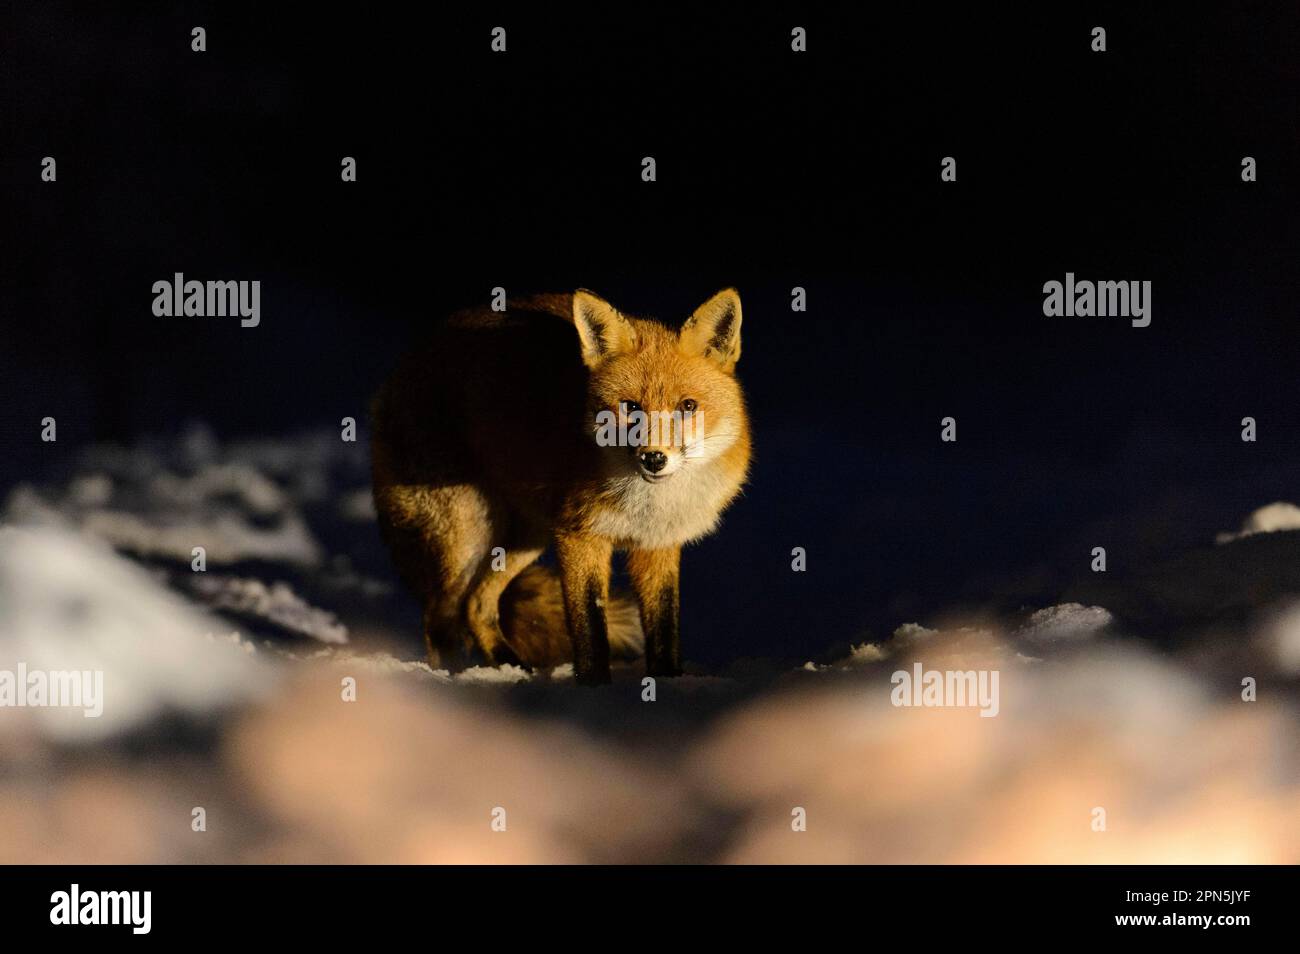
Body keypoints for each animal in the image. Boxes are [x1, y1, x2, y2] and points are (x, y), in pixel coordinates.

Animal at [370, 288, 751, 685]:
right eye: (630, 406)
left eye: (687, 406)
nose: (654, 459)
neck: (645, 503)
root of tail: (406, 361)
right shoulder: (579, 537)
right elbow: (590, 629)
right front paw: (594, 687)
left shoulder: (657, 544)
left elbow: (664, 630)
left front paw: (669, 682)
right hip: (464, 537)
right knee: (440, 618)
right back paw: (449, 681)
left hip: (525, 538)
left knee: (476, 607)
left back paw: (515, 670)